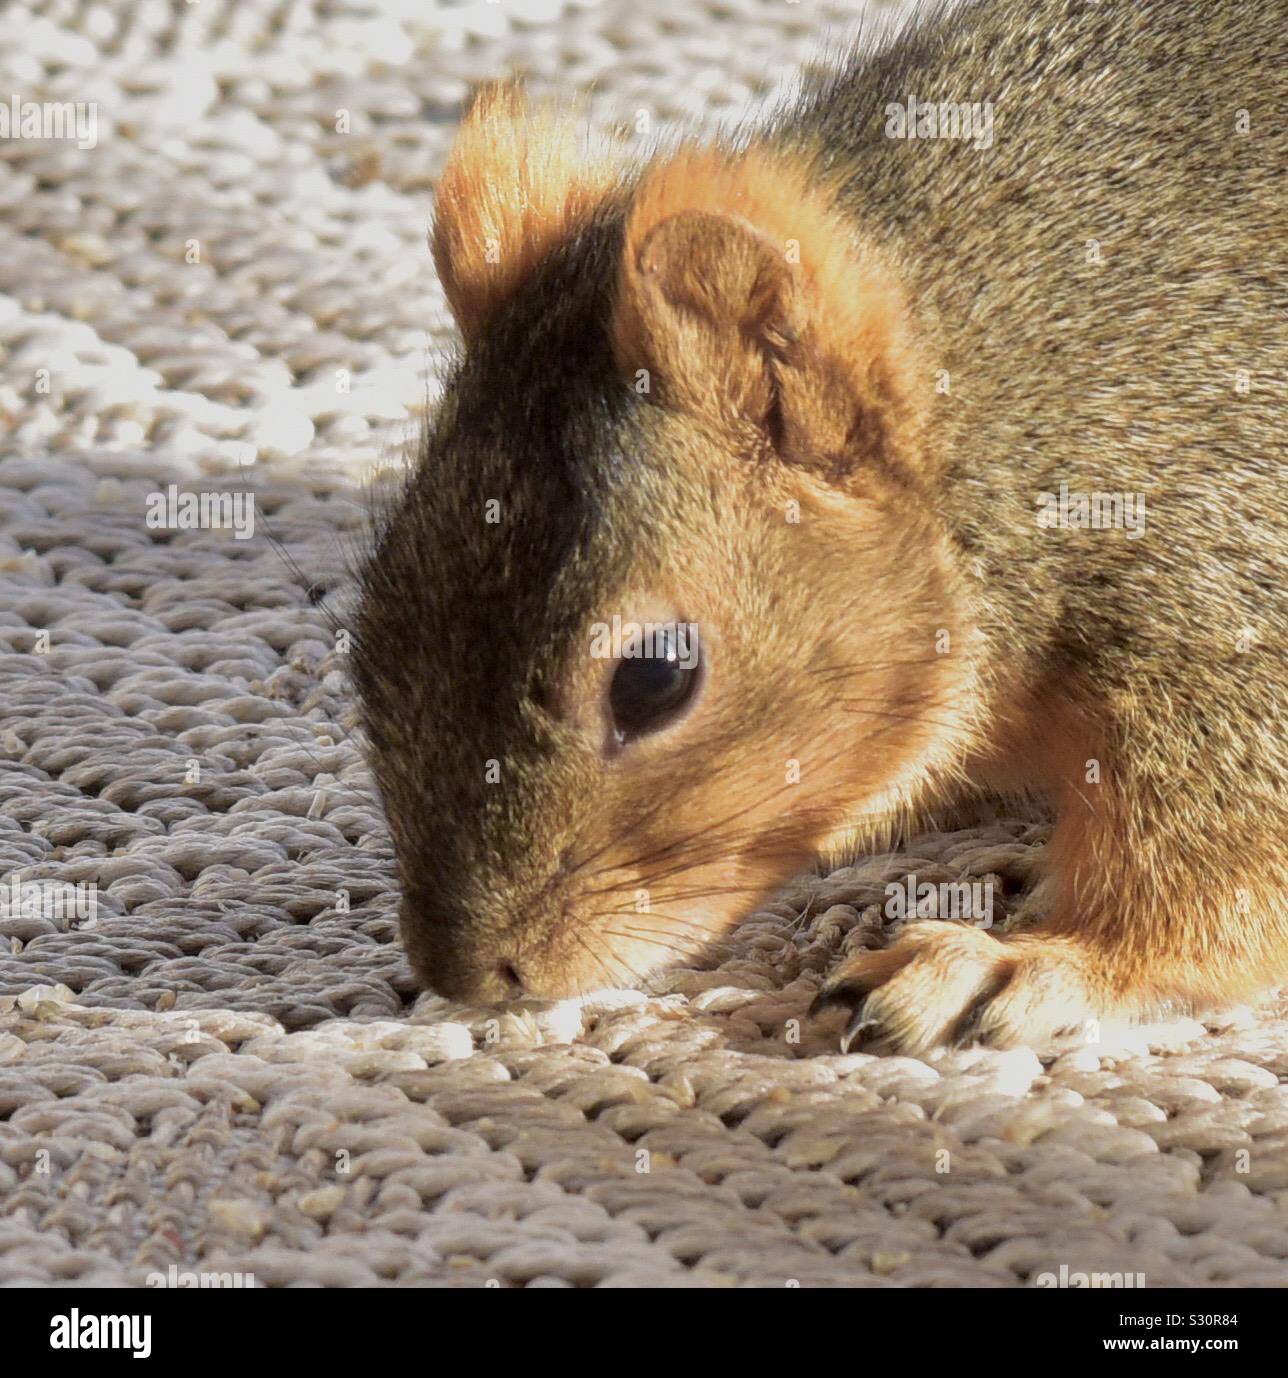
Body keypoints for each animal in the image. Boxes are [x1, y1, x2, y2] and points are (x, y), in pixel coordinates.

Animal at [353, 0, 1286, 1053]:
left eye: (653, 679)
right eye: (373, 623)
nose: (465, 974)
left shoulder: (1217, 576)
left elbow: (1215, 873)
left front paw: (1027, 963)